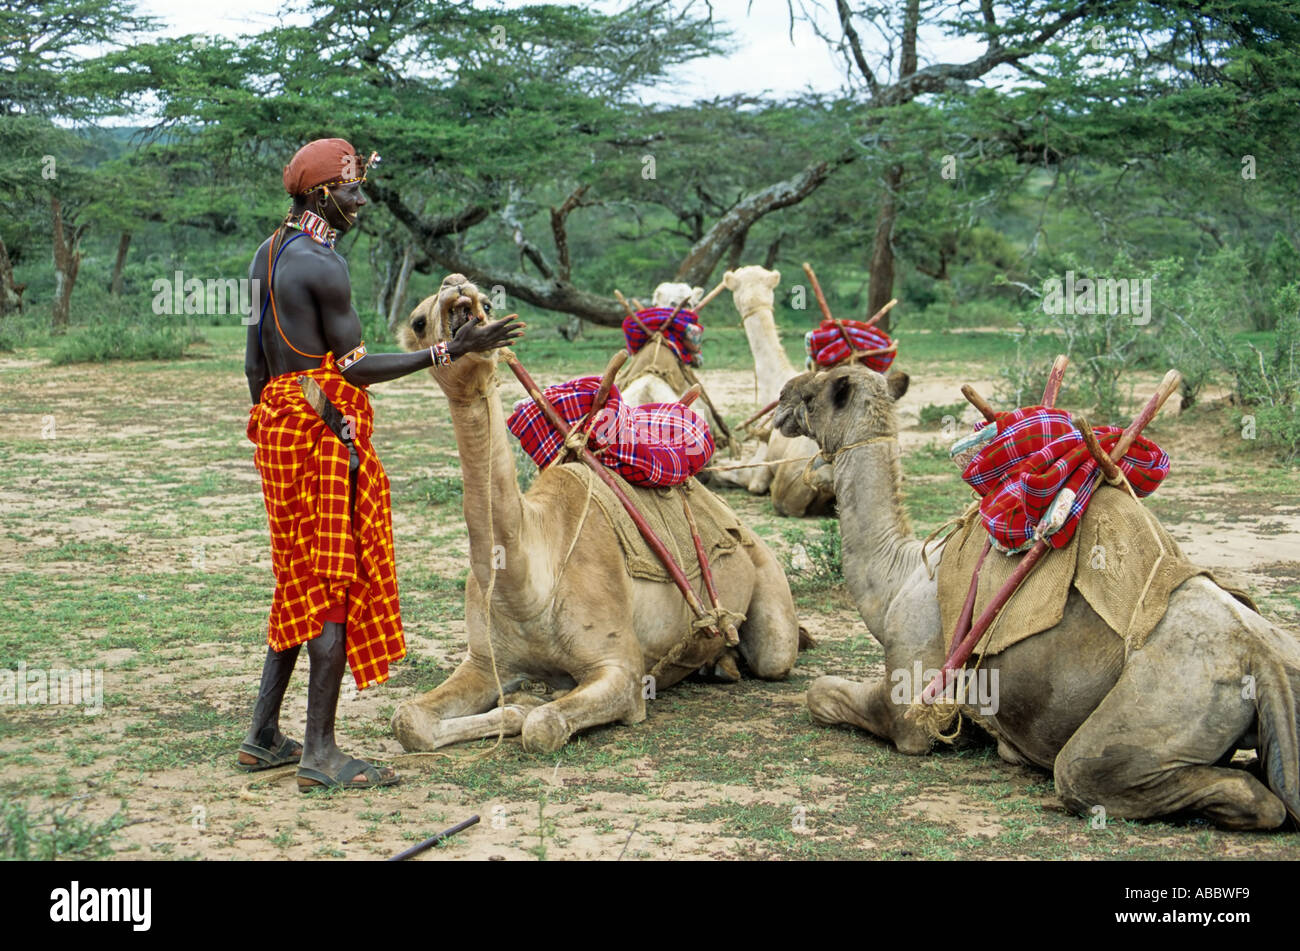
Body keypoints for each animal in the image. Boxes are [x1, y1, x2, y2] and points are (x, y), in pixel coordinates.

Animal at [389, 274, 801, 753]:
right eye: (418, 322)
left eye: (488, 303)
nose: (456, 284)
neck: (530, 582)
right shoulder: (483, 660)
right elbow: (409, 719)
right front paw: (522, 701)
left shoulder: (622, 667)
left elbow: (542, 726)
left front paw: (529, 707)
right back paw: (717, 663)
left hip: (767, 583)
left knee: (774, 654)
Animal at [774, 363, 1300, 829]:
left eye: (815, 391)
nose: (781, 395)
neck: (898, 574)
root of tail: (1260, 660)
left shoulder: (912, 700)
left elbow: (822, 694)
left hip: (1160, 707)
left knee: (1096, 776)